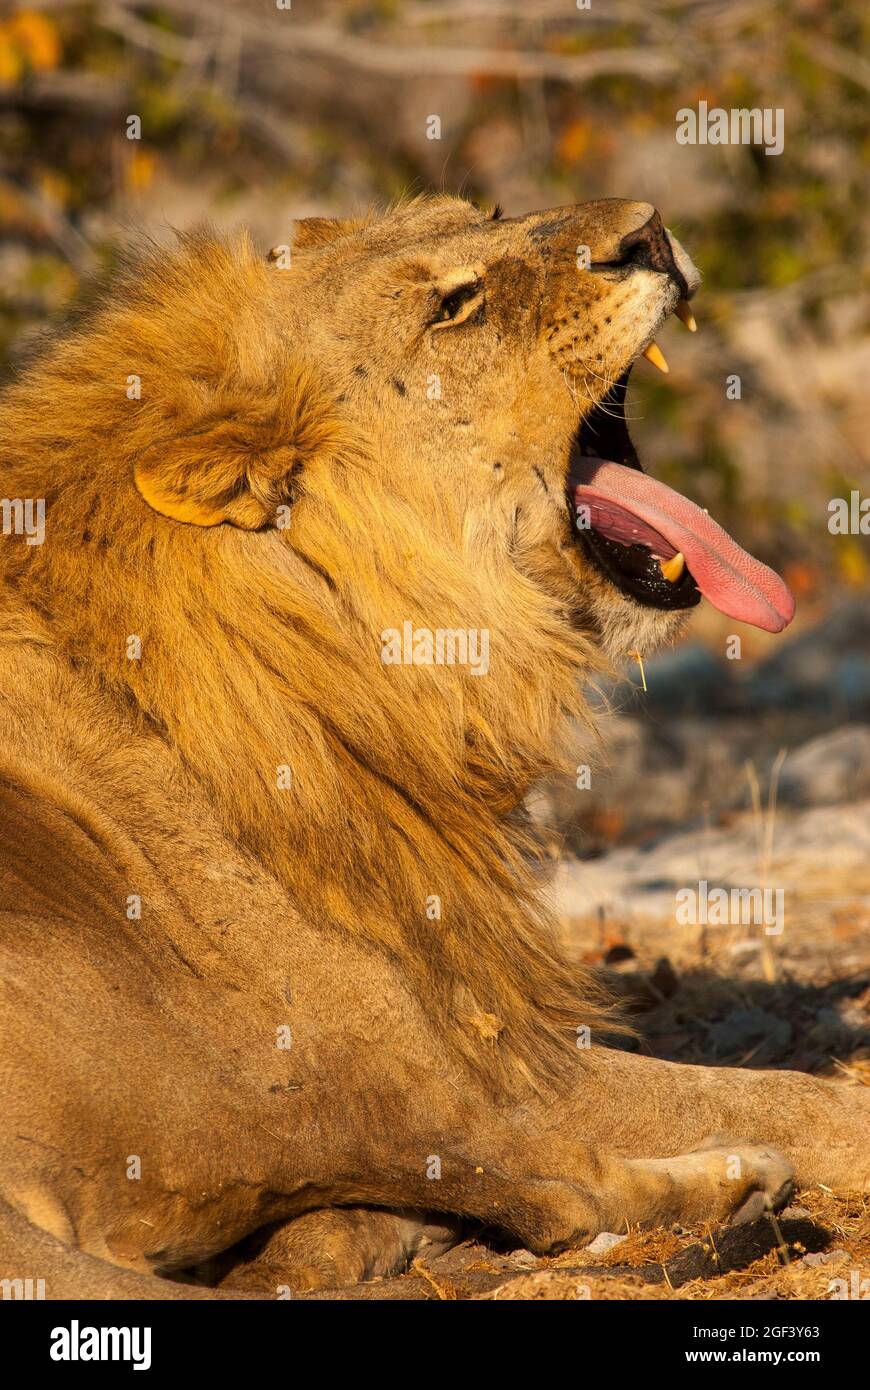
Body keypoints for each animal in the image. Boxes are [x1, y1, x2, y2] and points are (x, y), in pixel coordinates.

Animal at [0, 195, 866, 1299]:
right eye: (454, 305)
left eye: (484, 213)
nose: (649, 232)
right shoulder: (485, 1054)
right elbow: (786, 1097)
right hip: (288, 1068)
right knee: (547, 1185)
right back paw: (733, 1186)